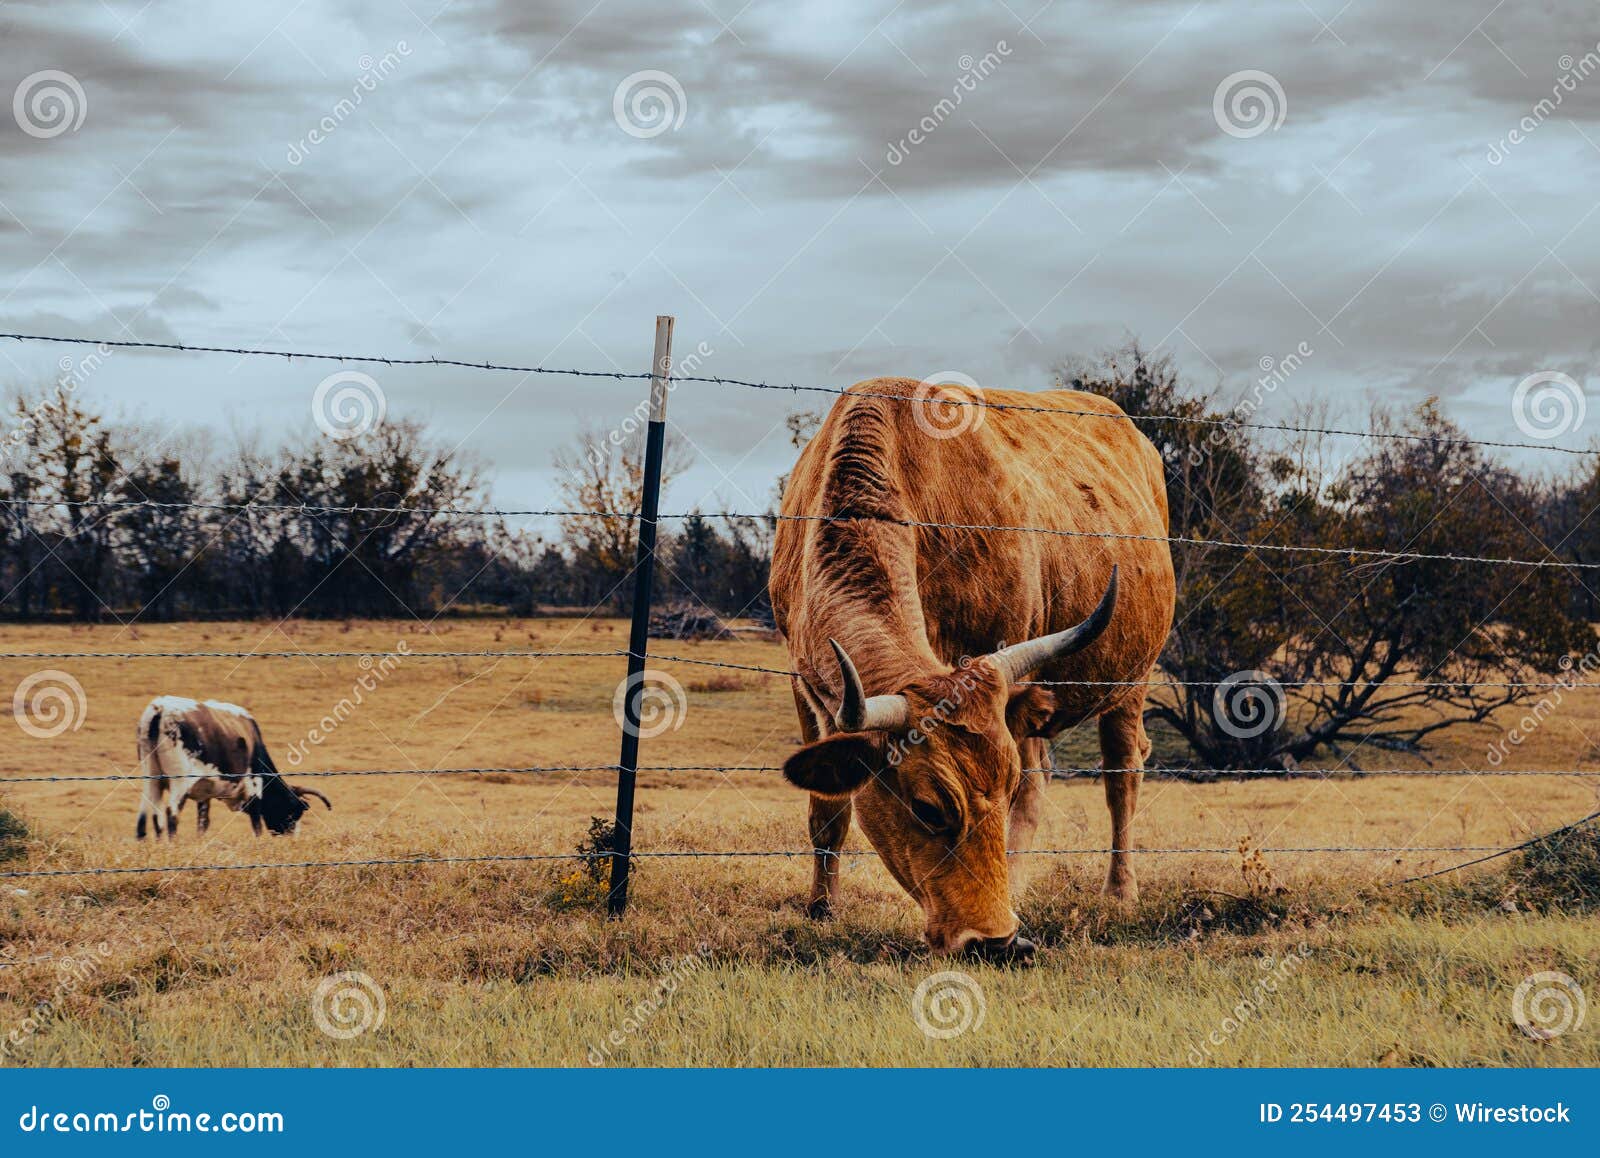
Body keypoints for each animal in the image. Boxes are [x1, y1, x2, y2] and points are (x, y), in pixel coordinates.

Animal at [135, 697, 331, 839]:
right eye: (293, 813)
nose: (291, 839)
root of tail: (161, 707)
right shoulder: (253, 787)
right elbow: (256, 822)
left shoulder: (204, 794)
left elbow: (203, 822)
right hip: (180, 781)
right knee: (171, 812)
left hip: (152, 777)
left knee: (154, 816)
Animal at [770, 377, 1174, 963]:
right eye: (928, 808)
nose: (998, 941)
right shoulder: (807, 686)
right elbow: (827, 813)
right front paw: (822, 908)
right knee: (1042, 779)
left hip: (1131, 680)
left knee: (1121, 774)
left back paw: (1119, 891)